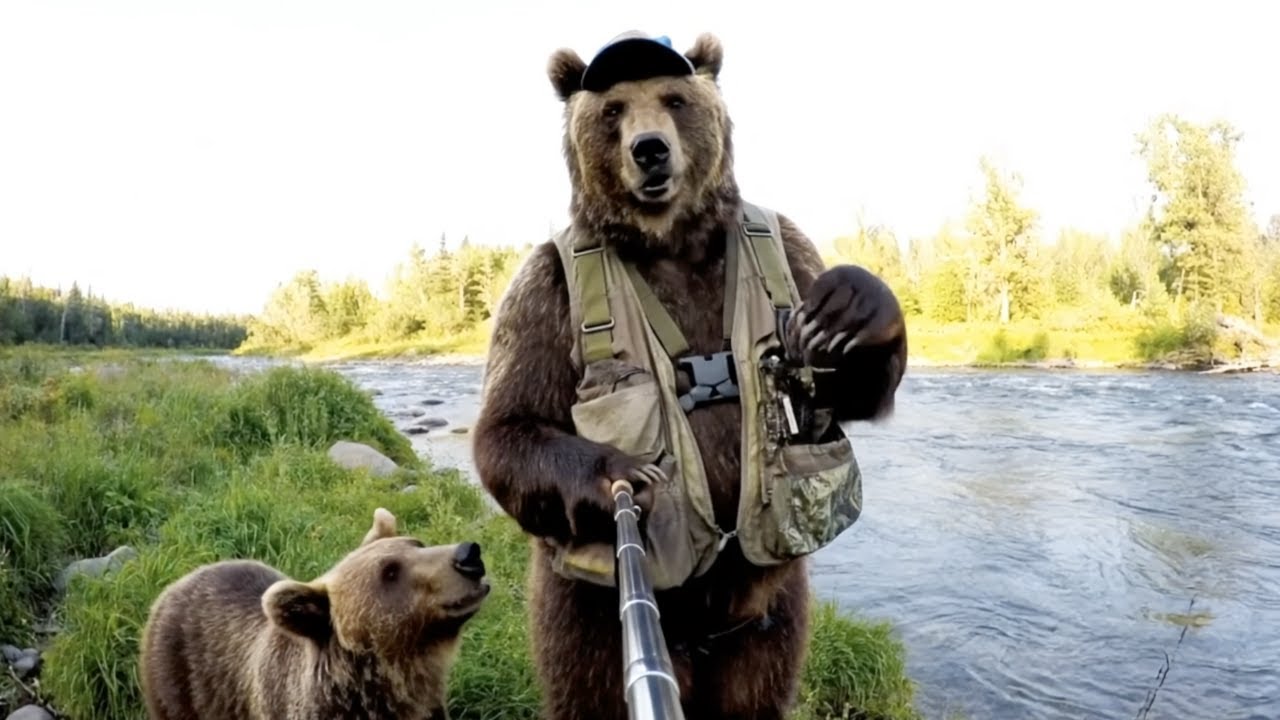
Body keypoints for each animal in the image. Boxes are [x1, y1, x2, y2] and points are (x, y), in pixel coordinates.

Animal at [471, 30, 907, 720]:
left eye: (674, 98)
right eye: (614, 108)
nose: (650, 149)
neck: (669, 243)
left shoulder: (789, 249)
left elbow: (842, 385)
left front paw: (856, 304)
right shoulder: (542, 291)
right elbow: (511, 419)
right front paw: (618, 476)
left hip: (769, 625)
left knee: (758, 690)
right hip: (588, 620)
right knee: (587, 685)